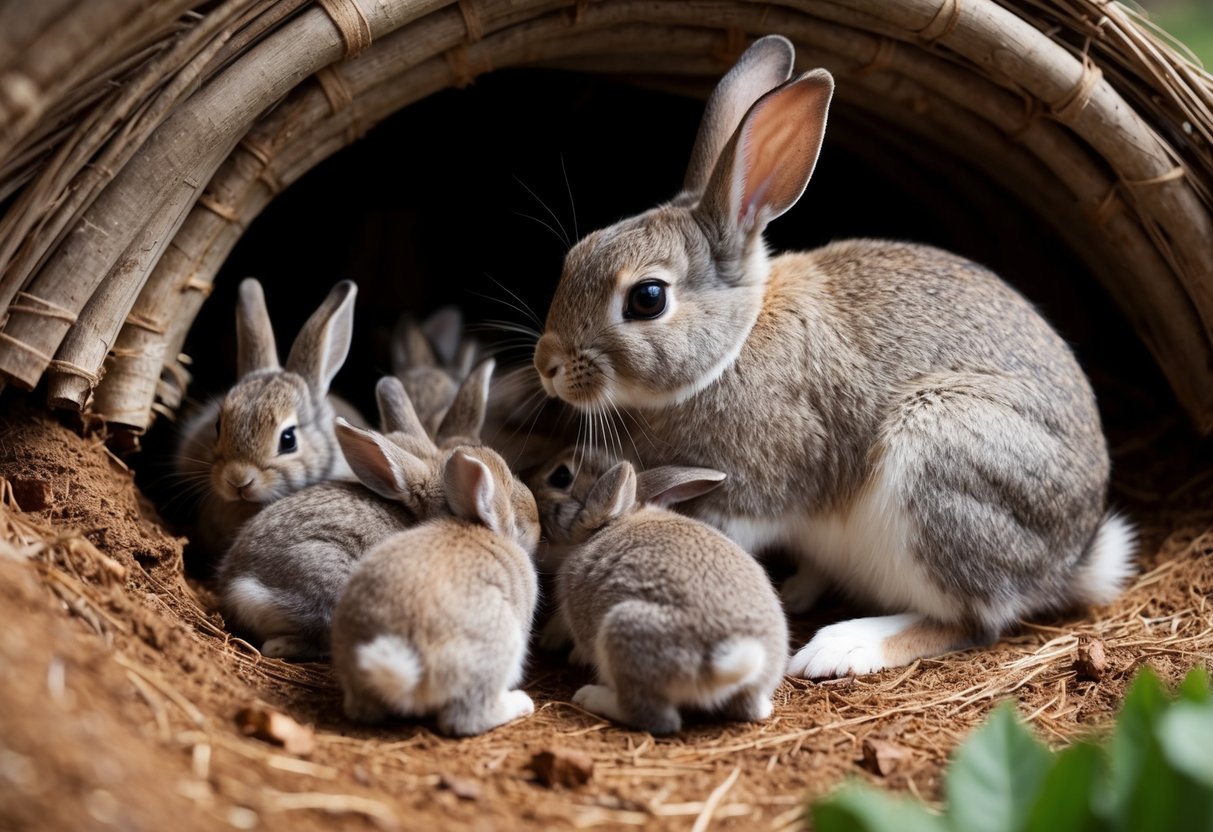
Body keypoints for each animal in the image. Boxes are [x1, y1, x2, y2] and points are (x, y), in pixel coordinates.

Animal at [529, 447, 786, 735]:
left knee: (654, 717)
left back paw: (591, 697)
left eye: (560, 476)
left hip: (622, 636)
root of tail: (718, 667)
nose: (529, 476)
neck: (616, 520)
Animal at [531, 35, 1136, 679]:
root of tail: (1071, 560)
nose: (547, 364)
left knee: (972, 620)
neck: (736, 343)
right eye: (578, 252)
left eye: (647, 298)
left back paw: (841, 647)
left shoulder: (753, 487)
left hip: (944, 471)